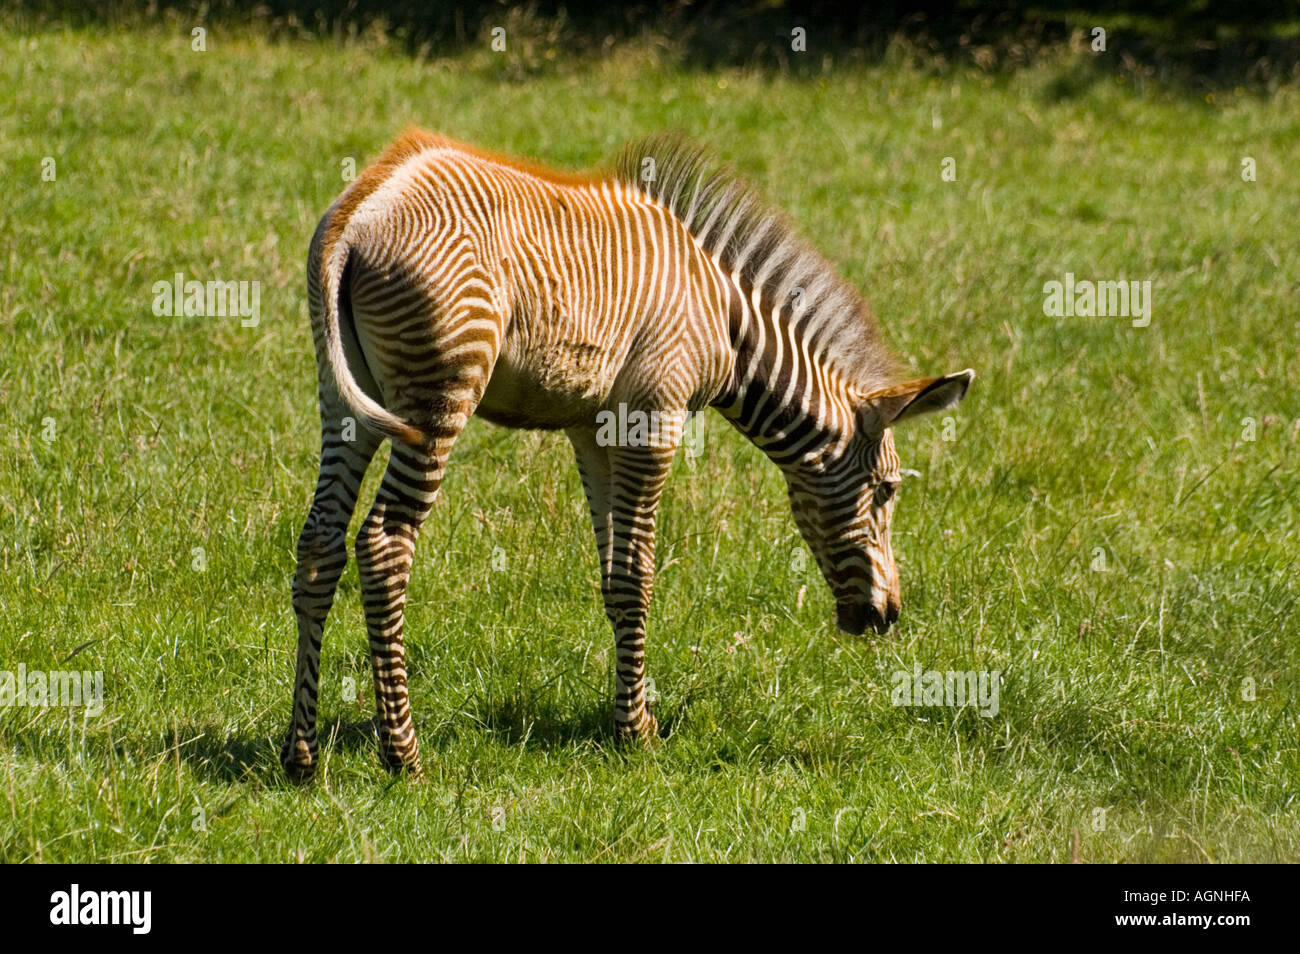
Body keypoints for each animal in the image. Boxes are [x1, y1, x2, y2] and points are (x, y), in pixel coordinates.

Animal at [281, 129, 973, 780]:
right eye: (887, 490)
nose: (887, 616)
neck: (728, 325)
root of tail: (360, 213)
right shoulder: (654, 418)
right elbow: (639, 574)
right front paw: (639, 734)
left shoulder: (594, 430)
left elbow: (614, 576)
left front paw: (625, 720)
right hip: (437, 396)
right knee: (384, 544)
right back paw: (403, 755)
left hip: (346, 398)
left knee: (320, 542)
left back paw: (302, 755)